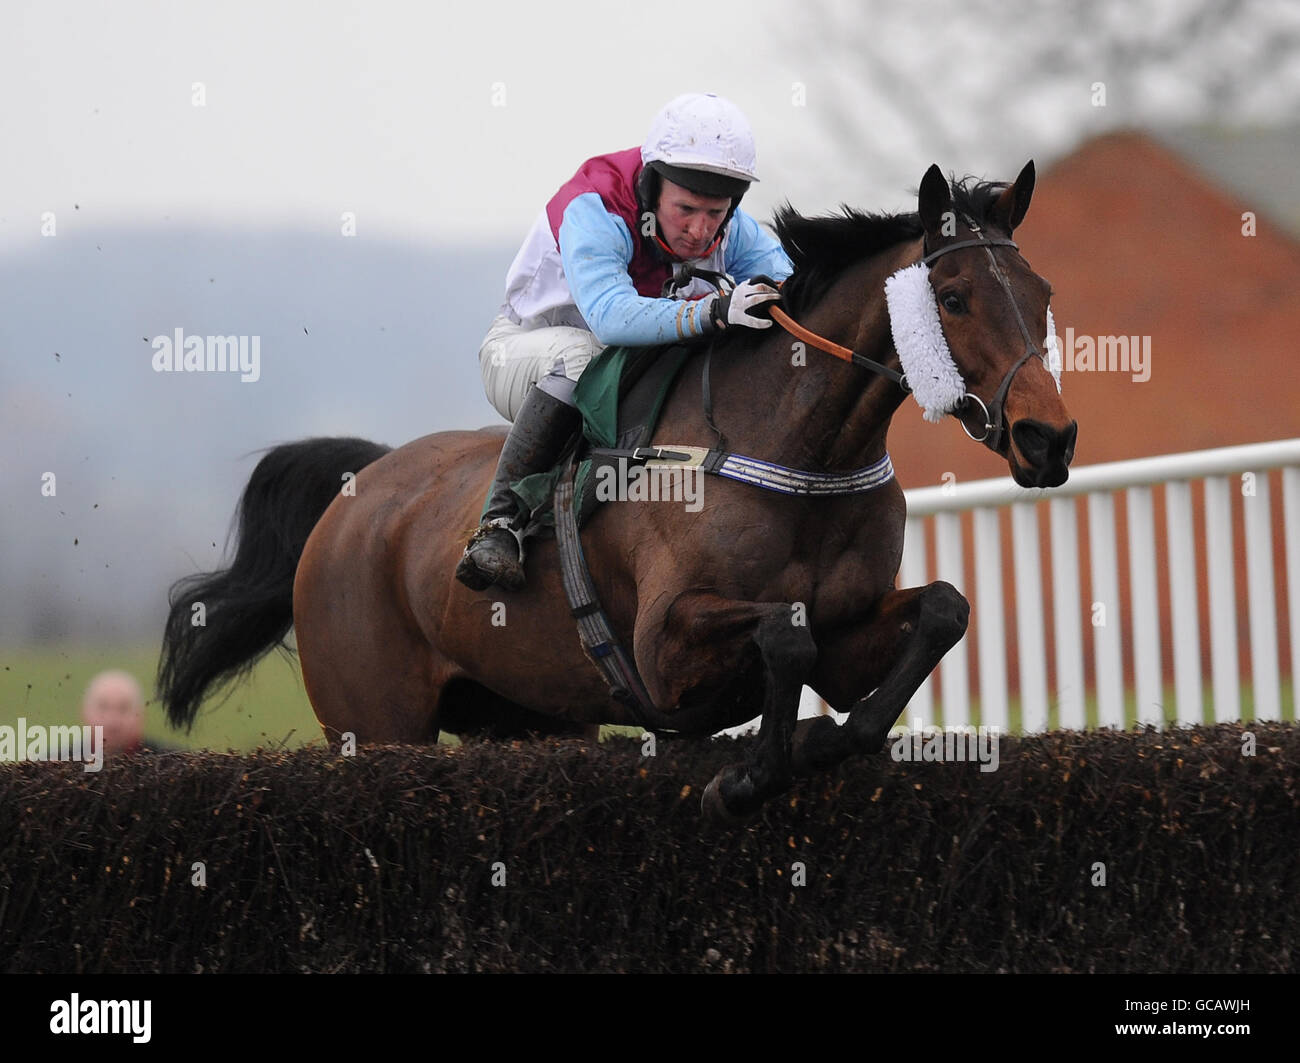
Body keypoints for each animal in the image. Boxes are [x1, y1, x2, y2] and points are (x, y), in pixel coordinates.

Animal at [158, 162, 1076, 822]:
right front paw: (746, 777)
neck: (801, 450)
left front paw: (819, 741)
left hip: (530, 716)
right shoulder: (661, 649)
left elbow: (939, 613)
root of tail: (362, 484)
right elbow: (786, 631)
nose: (1049, 439)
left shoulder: (853, 635)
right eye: (953, 298)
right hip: (375, 724)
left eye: (1042, 294)